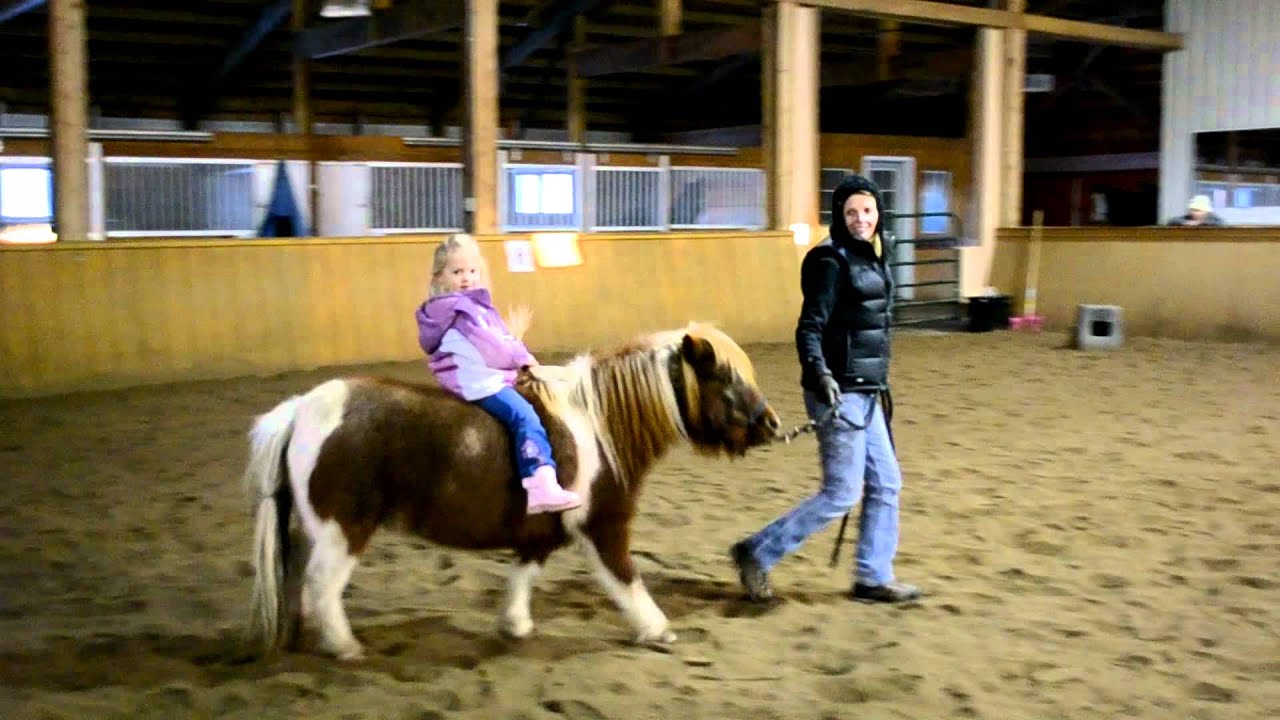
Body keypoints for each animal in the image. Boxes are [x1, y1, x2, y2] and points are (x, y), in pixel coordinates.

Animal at [242, 323, 782, 659]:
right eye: (725, 378)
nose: (773, 424)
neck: (599, 425)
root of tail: (301, 408)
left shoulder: (541, 530)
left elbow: (525, 573)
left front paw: (515, 625)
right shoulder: (603, 526)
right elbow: (626, 579)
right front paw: (657, 629)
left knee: (300, 580)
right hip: (344, 530)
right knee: (323, 586)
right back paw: (344, 646)